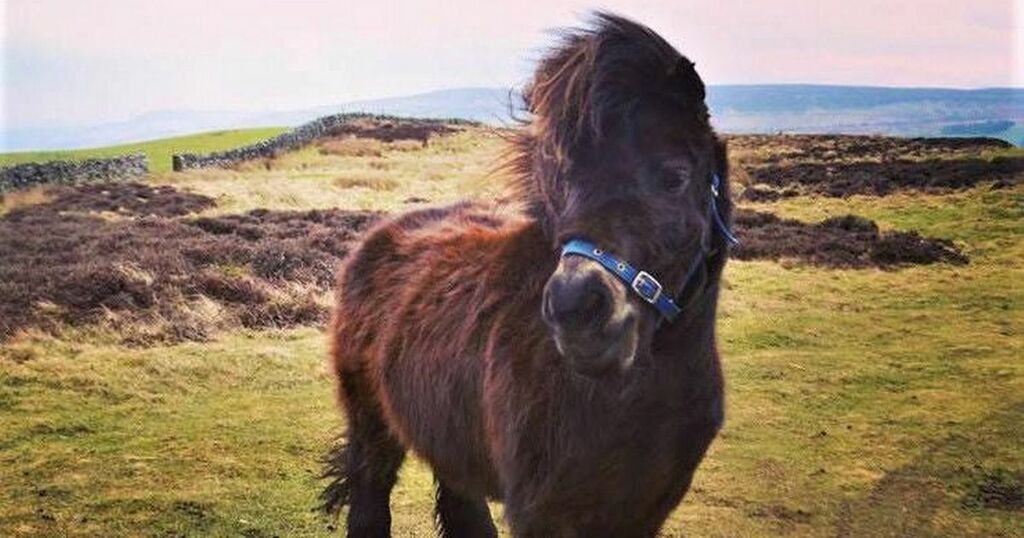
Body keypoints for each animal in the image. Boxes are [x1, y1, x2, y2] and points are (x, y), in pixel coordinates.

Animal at [321, 12, 735, 537]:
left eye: (676, 176)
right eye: (563, 179)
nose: (575, 311)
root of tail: (376, 237)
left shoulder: (645, 509)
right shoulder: (546, 512)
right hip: (373, 426)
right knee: (371, 491)